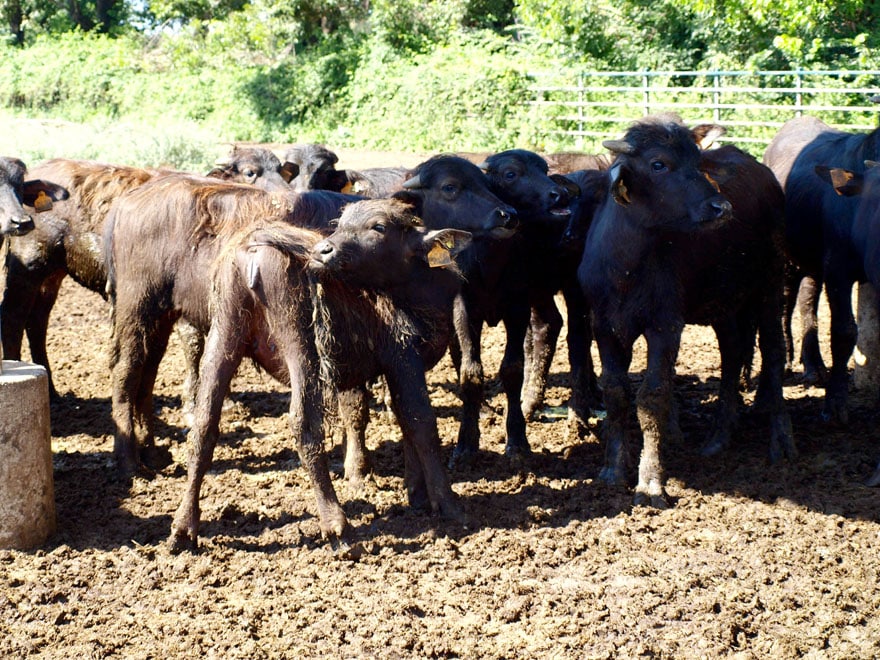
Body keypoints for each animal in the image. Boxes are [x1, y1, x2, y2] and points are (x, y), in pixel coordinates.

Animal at [168, 198, 472, 552]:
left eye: (378, 227)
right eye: (343, 223)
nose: (324, 250)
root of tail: (253, 249)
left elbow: (398, 422)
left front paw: (417, 496)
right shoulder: (404, 358)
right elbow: (421, 423)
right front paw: (447, 504)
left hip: (225, 333)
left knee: (204, 425)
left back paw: (183, 528)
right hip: (300, 345)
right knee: (305, 425)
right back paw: (337, 526)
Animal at [577, 114, 794, 507]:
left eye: (698, 161)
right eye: (658, 164)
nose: (721, 208)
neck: (626, 268)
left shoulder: (665, 325)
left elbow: (651, 397)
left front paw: (649, 482)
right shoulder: (605, 326)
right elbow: (615, 392)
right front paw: (613, 469)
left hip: (771, 282)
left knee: (773, 352)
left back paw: (781, 441)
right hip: (727, 302)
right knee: (732, 354)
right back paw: (718, 437)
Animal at [765, 115, 880, 422]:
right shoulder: (838, 270)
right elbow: (844, 331)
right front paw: (835, 404)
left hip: (813, 264)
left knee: (807, 302)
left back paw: (814, 366)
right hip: (786, 257)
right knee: (785, 302)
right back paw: (786, 359)